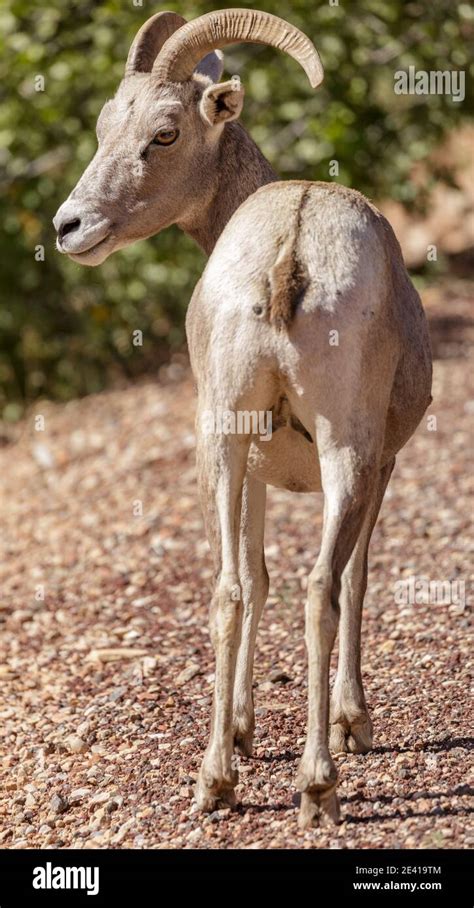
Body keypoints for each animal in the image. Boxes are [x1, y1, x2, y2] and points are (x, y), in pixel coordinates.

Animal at [54, 9, 433, 828]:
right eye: (104, 125)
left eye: (163, 133)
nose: (71, 226)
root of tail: (292, 248)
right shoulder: (382, 461)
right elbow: (352, 578)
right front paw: (354, 723)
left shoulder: (253, 462)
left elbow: (252, 580)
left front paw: (241, 730)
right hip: (345, 451)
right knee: (321, 586)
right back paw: (318, 784)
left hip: (220, 443)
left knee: (229, 590)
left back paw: (215, 780)